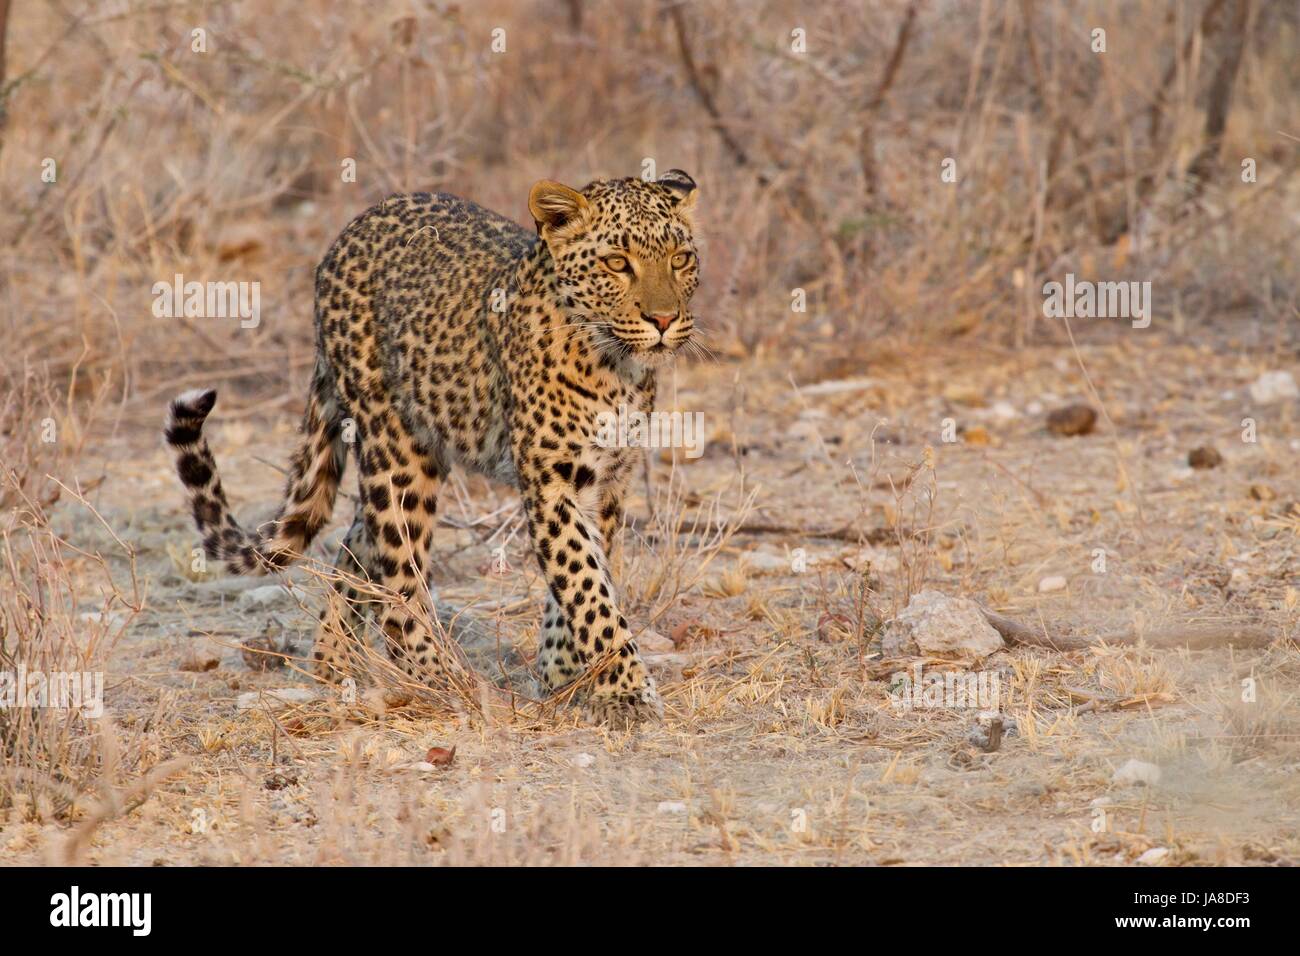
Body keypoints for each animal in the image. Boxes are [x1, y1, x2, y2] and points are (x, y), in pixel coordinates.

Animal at [164, 170, 701, 724]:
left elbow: (581, 581)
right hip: (398, 451)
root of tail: (346, 235)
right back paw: (437, 677)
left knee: (356, 546)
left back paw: (336, 664)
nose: (664, 320)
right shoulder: (551, 481)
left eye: (681, 258)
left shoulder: (604, 480)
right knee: (398, 581)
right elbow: (585, 585)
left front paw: (562, 673)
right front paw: (625, 691)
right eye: (617, 262)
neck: (617, 368)